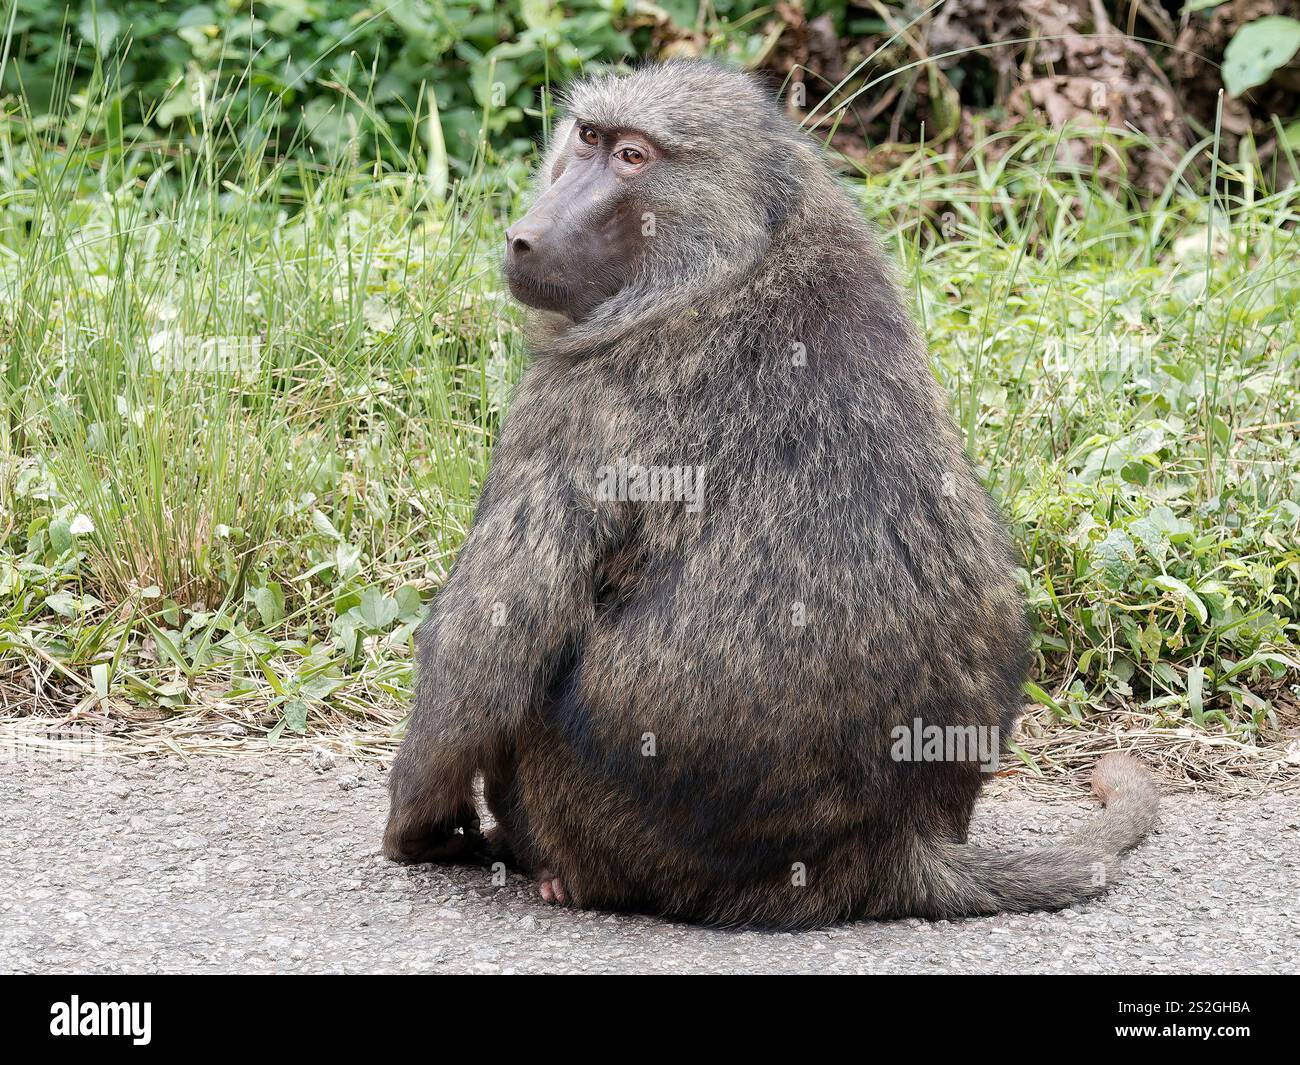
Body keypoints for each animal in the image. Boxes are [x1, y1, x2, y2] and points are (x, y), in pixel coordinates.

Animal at [382, 60, 1159, 929]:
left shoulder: (573, 404)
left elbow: (489, 641)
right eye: (587, 137)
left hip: (600, 822)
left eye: (632, 156)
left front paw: (417, 824)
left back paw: (551, 872)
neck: (742, 249)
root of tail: (899, 842)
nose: (526, 237)